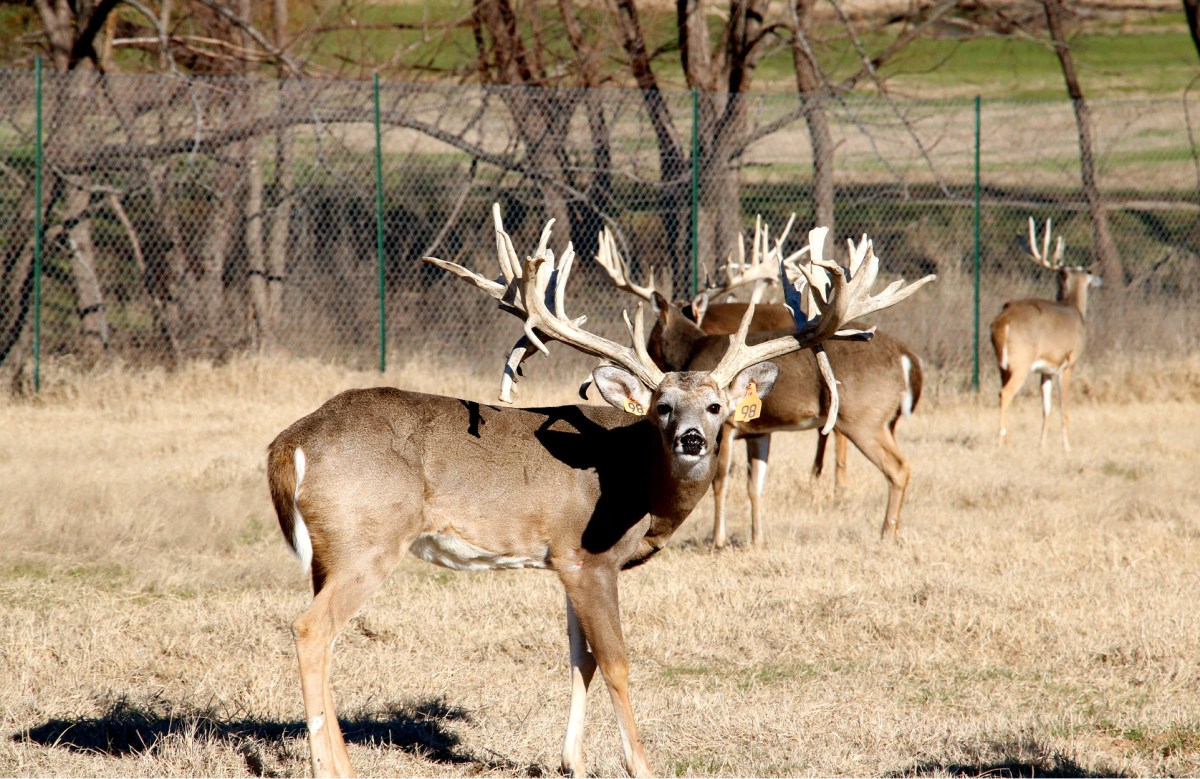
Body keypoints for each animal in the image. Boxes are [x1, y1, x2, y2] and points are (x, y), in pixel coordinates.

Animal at [595, 220, 929, 545]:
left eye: (651, 332)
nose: (648, 352)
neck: (692, 350)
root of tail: (907, 357)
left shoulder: (728, 425)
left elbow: (720, 482)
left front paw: (717, 541)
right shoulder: (760, 430)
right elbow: (755, 484)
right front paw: (757, 539)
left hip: (863, 418)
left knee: (899, 468)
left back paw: (885, 535)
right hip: (886, 420)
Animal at [991, 216, 1101, 450]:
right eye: (1087, 273)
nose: (1097, 277)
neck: (1075, 309)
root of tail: (1002, 321)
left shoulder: (1046, 370)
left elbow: (1046, 407)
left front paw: (1041, 445)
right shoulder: (1068, 362)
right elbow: (1063, 406)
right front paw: (1067, 446)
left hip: (1002, 366)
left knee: (1004, 392)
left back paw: (1008, 440)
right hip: (1021, 361)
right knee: (1005, 393)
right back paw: (1000, 441)